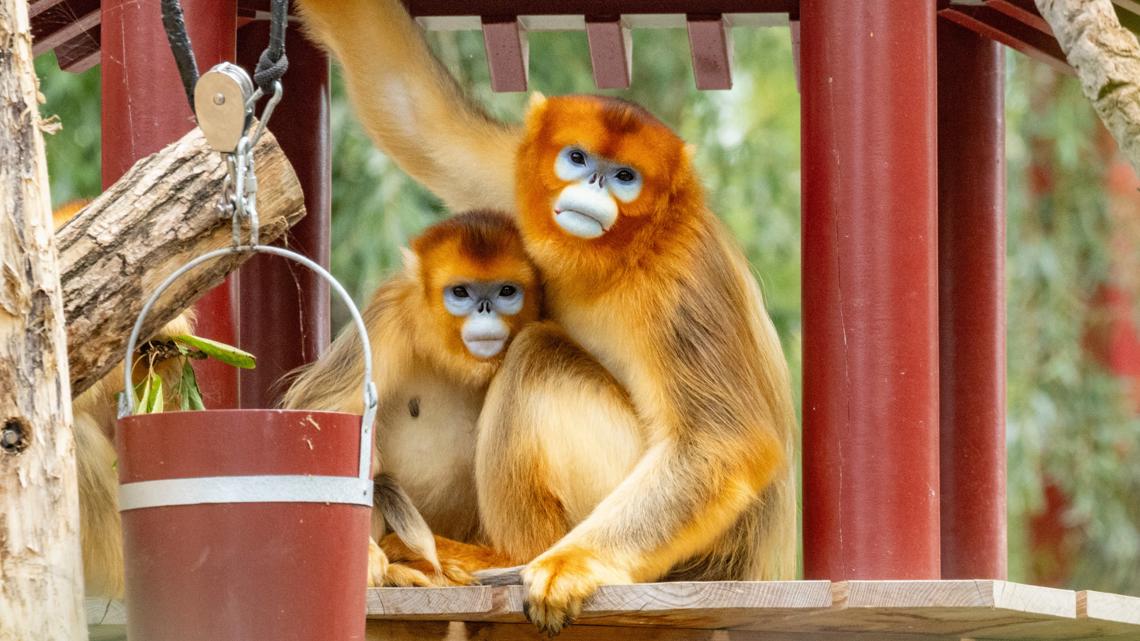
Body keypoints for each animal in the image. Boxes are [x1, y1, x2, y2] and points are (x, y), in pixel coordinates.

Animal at [280, 210, 543, 587]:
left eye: (506, 291)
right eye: (460, 292)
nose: (485, 309)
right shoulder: (388, 315)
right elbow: (323, 412)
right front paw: (365, 554)